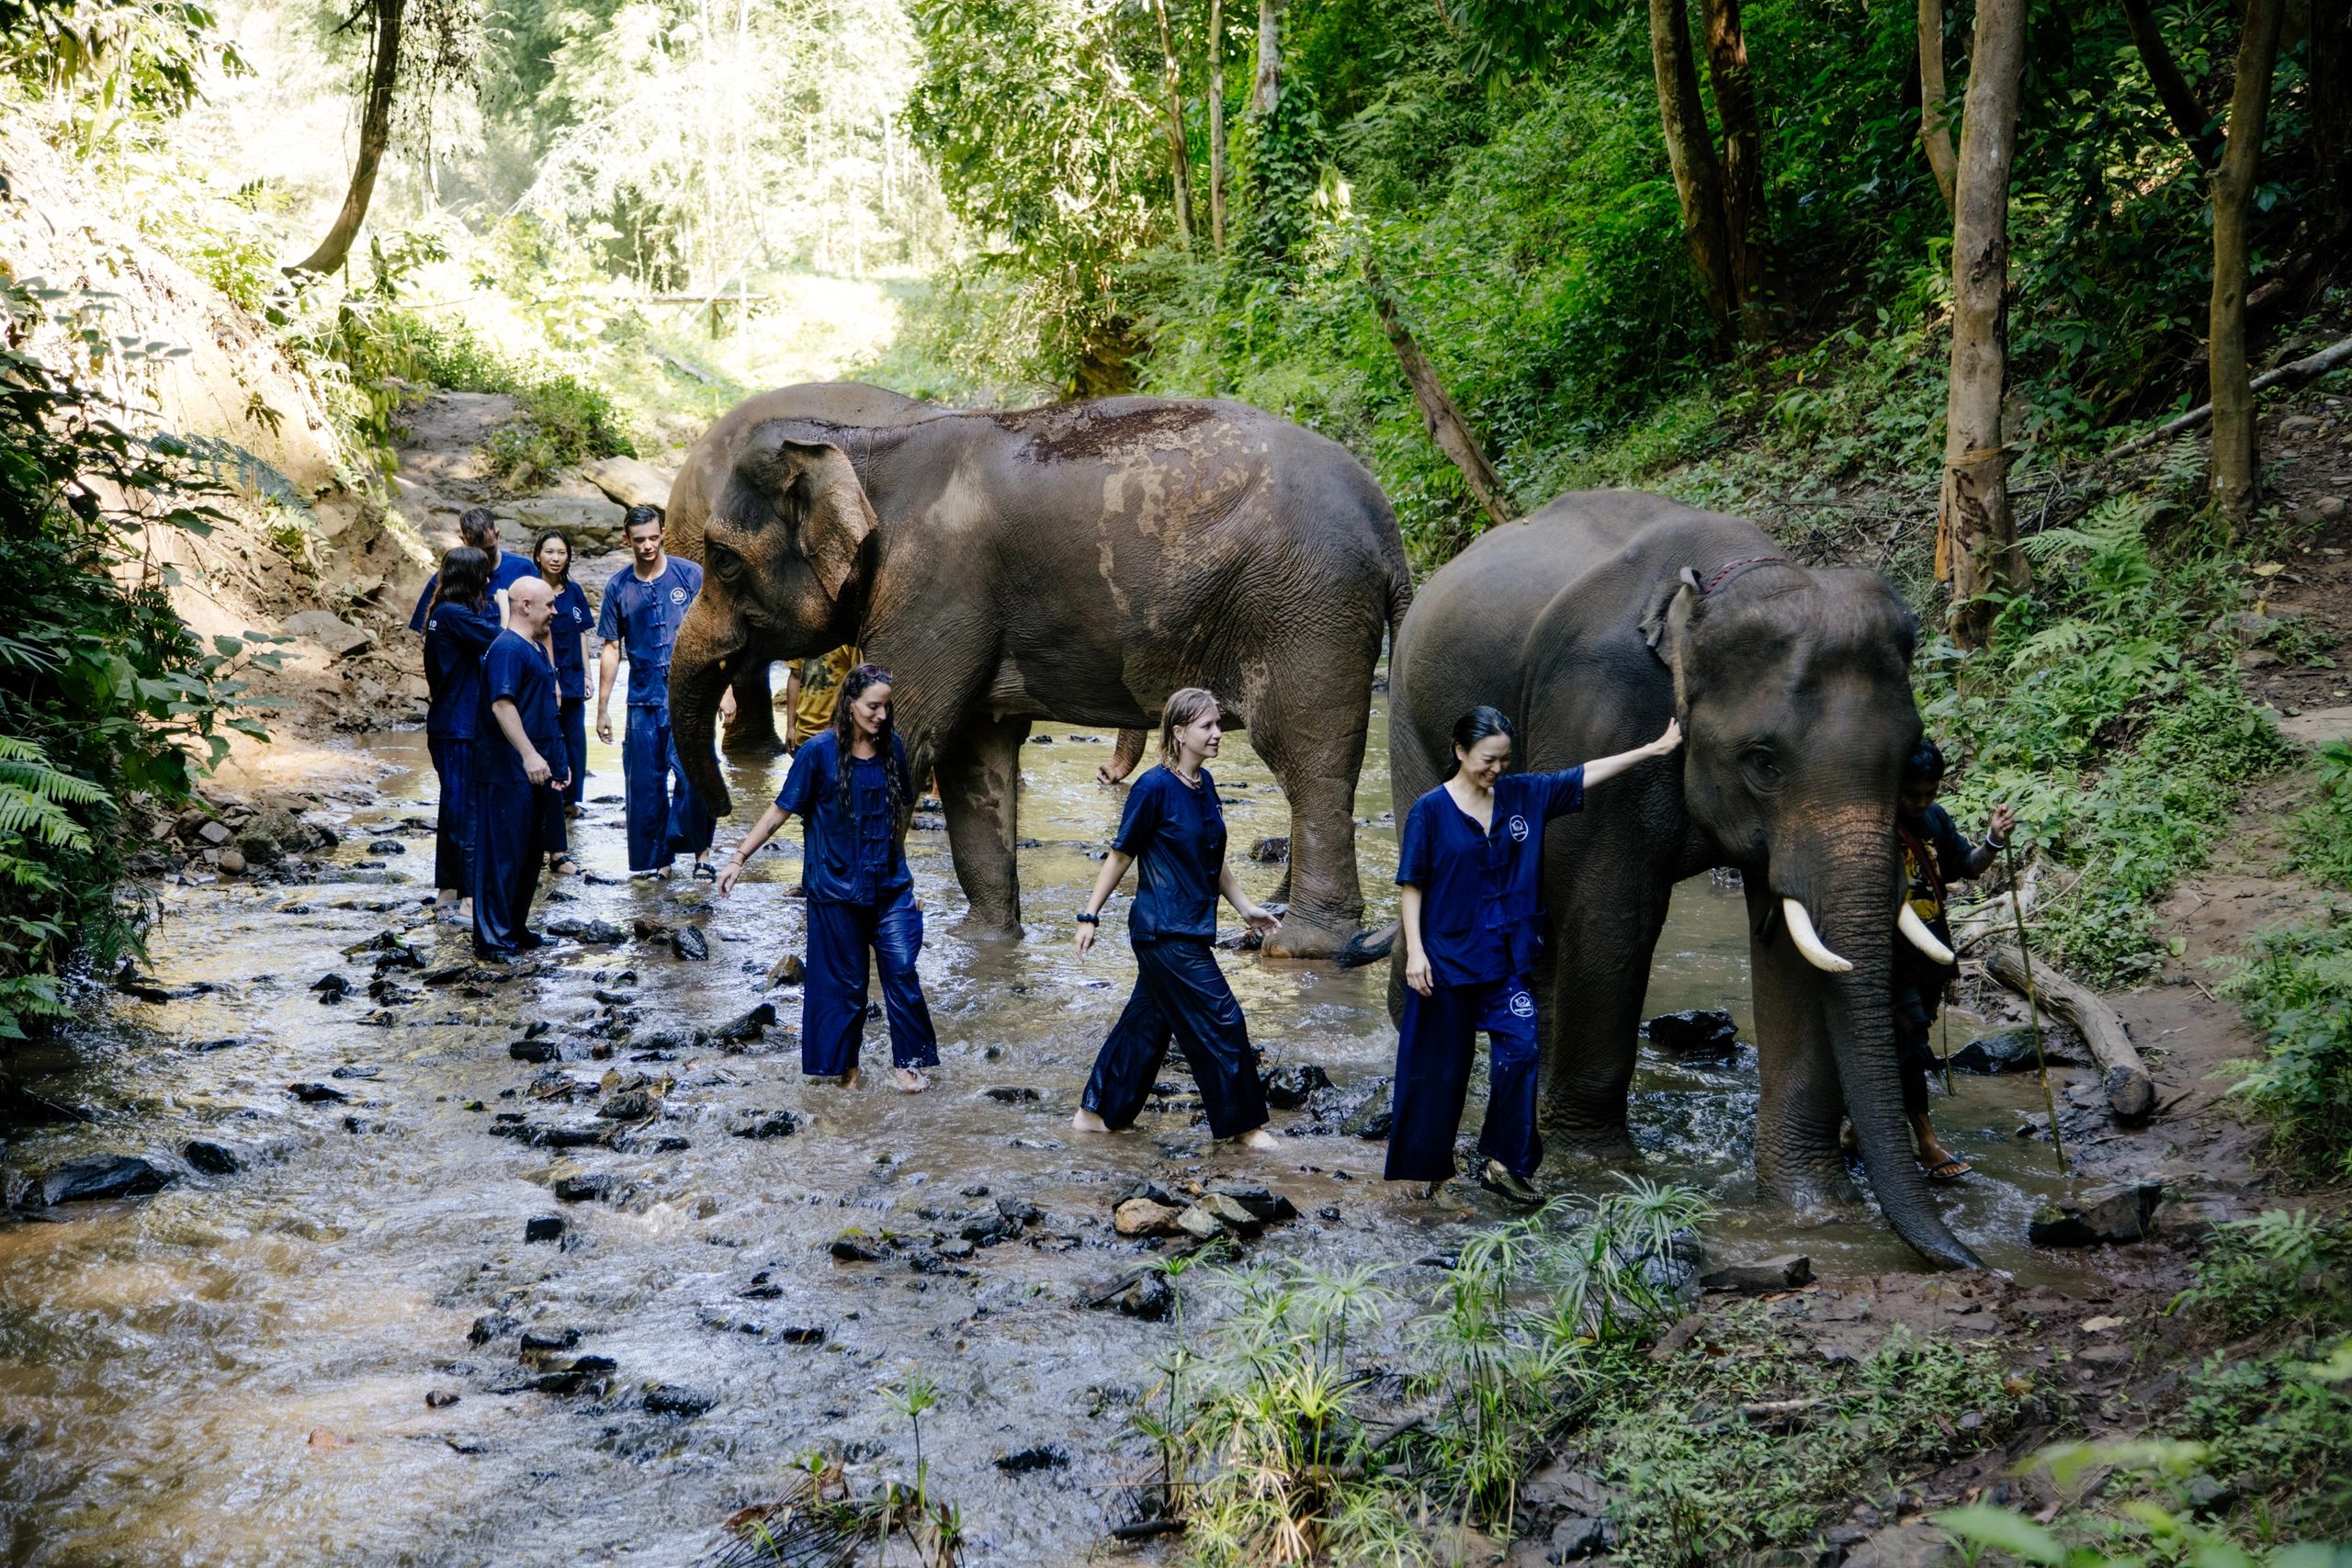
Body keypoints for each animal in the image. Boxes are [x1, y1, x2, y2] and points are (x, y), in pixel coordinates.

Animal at [664, 382, 1414, 959]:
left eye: (722, 560)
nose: (721, 822)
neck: (865, 446)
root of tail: (1389, 526)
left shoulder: (936, 590)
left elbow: (913, 739)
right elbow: (974, 758)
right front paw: (984, 941)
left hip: (1307, 611)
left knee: (1308, 759)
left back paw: (1298, 946)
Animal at [1388, 491, 1981, 1269]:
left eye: (1910, 753)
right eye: (1762, 759)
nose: (1974, 1262)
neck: (1722, 586)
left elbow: (1793, 950)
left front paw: (1814, 1210)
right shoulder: (1596, 718)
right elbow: (1617, 918)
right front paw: (1600, 1170)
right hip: (1411, 716)